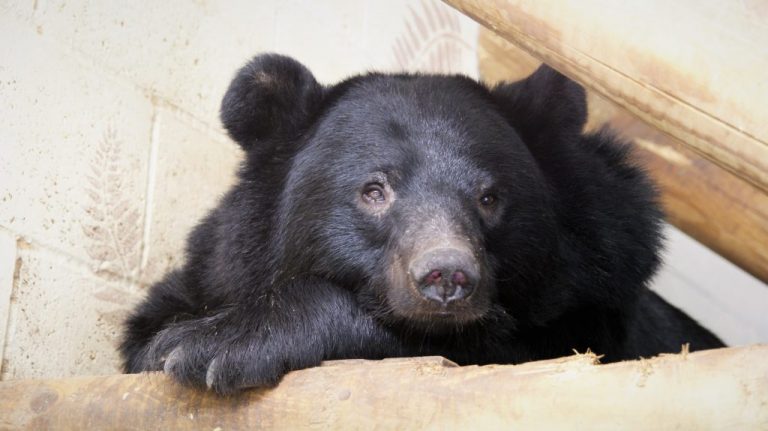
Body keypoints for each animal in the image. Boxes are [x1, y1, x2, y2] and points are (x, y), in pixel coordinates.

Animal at [121, 53, 724, 395]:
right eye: (374, 190)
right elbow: (145, 338)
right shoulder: (220, 265)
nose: (447, 277)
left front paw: (217, 345)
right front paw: (184, 342)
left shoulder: (602, 282)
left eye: (488, 197)